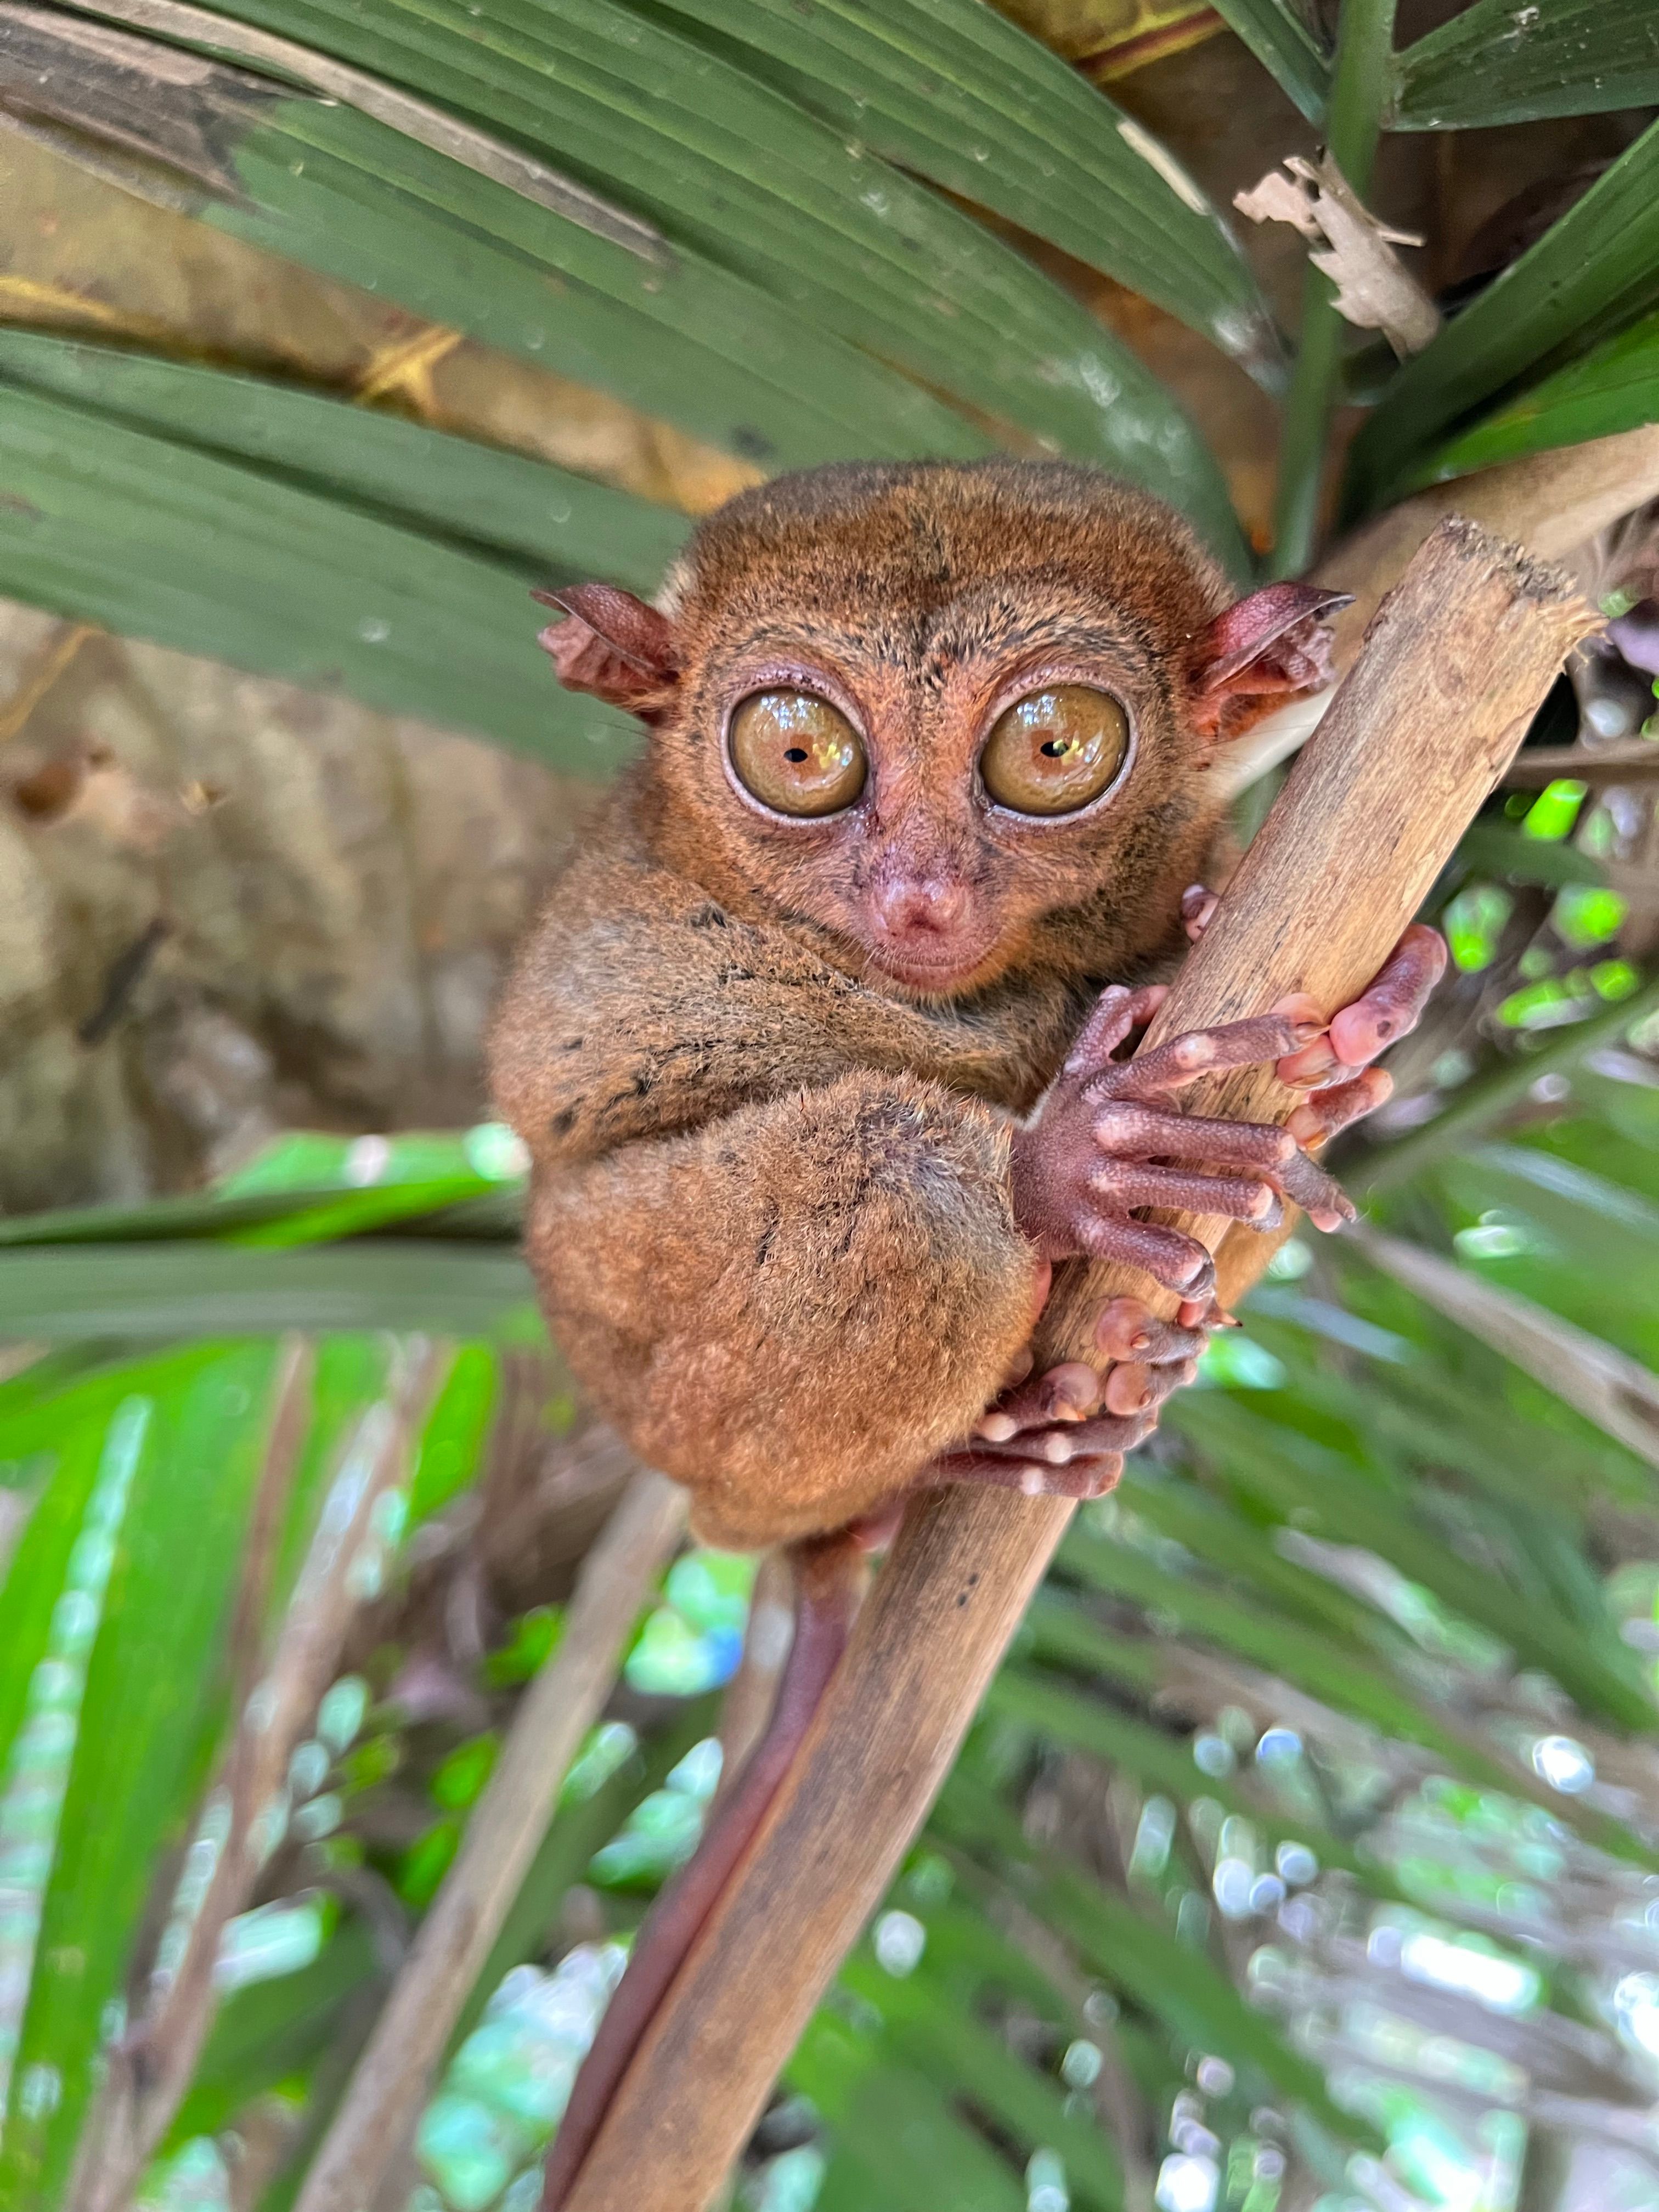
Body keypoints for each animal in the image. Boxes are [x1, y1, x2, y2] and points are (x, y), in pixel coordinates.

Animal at [485, 460, 1445, 2203]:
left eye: (1052, 749)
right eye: (800, 754)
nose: (919, 895)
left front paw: (1363, 1025)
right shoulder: (668, 958)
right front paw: (1078, 1159)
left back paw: (1103, 1403)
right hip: (652, 1340)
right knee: (911, 1176)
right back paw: (981, 1413)